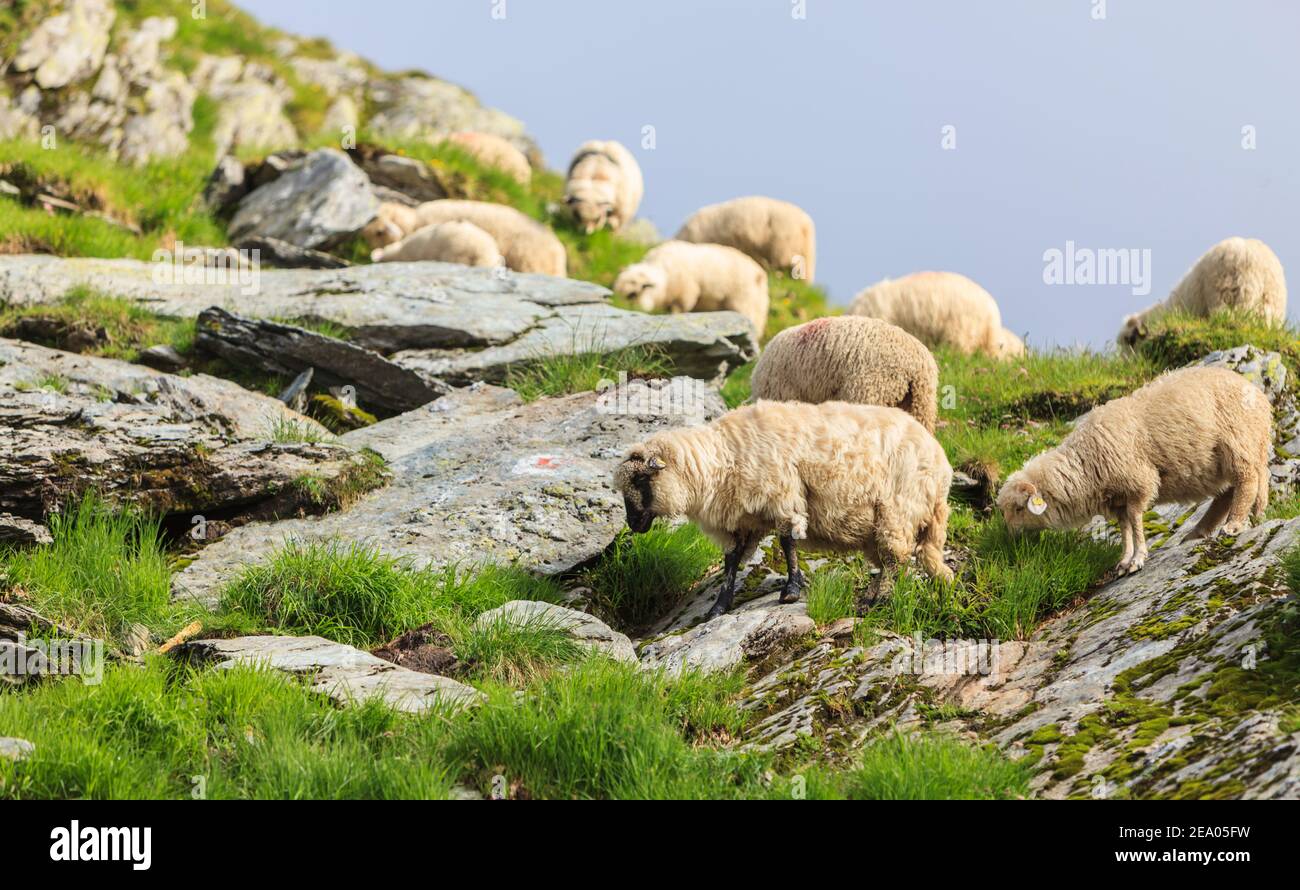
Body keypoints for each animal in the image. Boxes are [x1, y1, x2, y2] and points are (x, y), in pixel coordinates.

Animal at [612, 240, 770, 337]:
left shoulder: (685, 294)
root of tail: (760, 273)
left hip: (744, 302)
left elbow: (678, 311)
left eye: (632, 294)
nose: (620, 307)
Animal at [614, 400, 954, 618]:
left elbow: (787, 541)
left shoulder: (783, 496)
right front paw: (719, 606)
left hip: (898, 509)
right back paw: (876, 596)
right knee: (893, 561)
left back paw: (876, 602)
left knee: (895, 559)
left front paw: (791, 590)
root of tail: (941, 463)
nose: (632, 523)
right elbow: (732, 561)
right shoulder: (742, 520)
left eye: (641, 479)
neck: (721, 460)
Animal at [997, 366, 1272, 576]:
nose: (1010, 538)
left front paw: (1138, 559)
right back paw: (1200, 531)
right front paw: (1124, 560)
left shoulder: (1139, 482)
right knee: (1228, 492)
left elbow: (1136, 520)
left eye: (1019, 508)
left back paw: (1233, 524)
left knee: (1247, 480)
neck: (1085, 463)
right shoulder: (1118, 498)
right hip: (1217, 463)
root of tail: (1259, 394)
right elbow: (1124, 527)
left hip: (1238, 441)